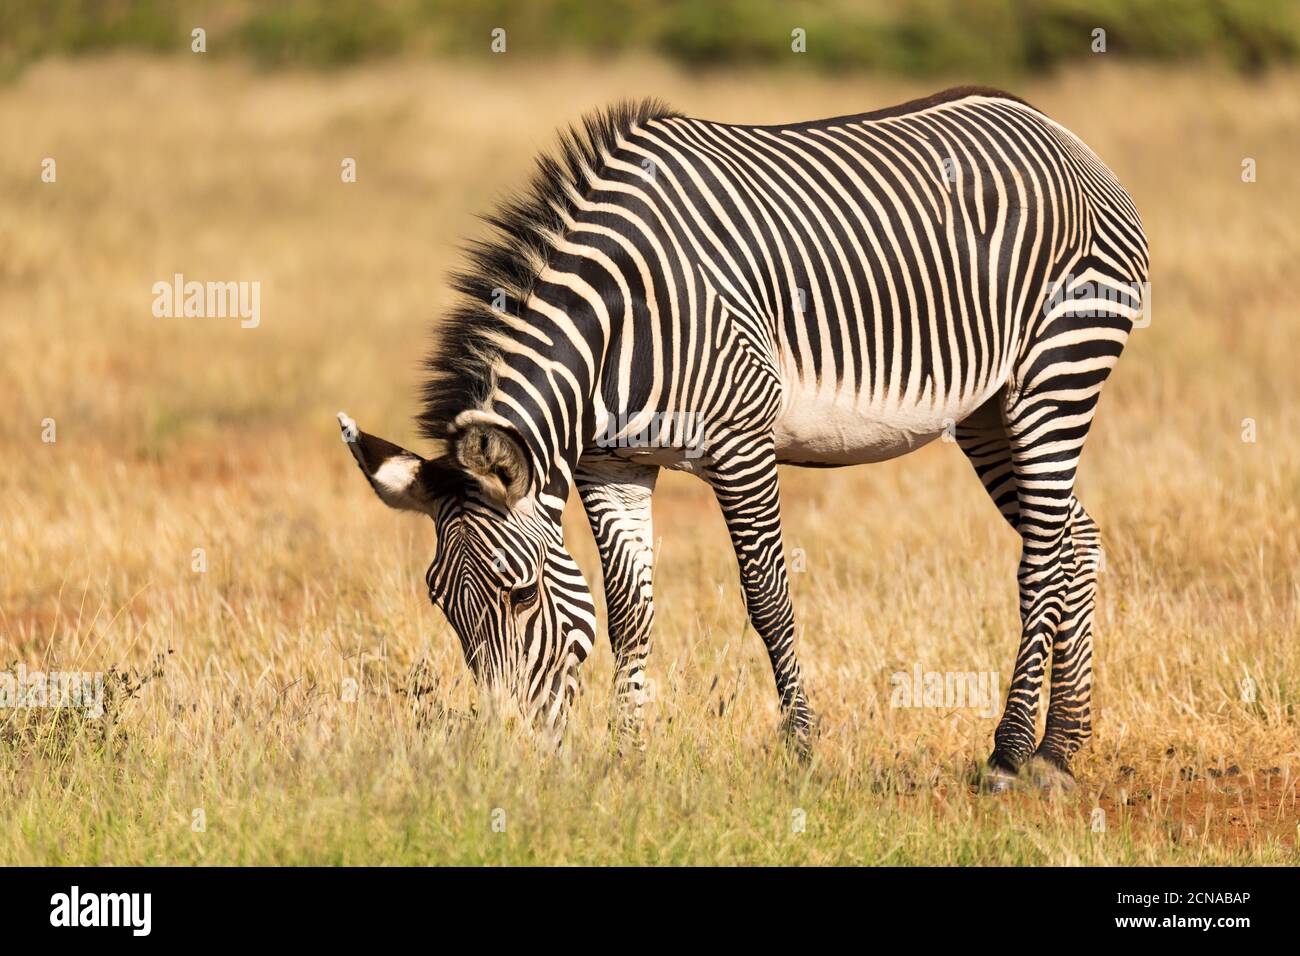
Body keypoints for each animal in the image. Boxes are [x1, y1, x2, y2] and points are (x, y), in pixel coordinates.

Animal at [339, 88, 1148, 789]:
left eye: (520, 594)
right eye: (441, 602)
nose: (507, 757)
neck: (618, 319)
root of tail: (1058, 133)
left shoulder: (743, 442)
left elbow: (768, 598)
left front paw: (802, 749)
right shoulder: (612, 466)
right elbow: (629, 611)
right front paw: (627, 758)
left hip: (1059, 367)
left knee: (1042, 559)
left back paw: (1010, 754)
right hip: (987, 409)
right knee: (1075, 537)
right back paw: (1059, 751)